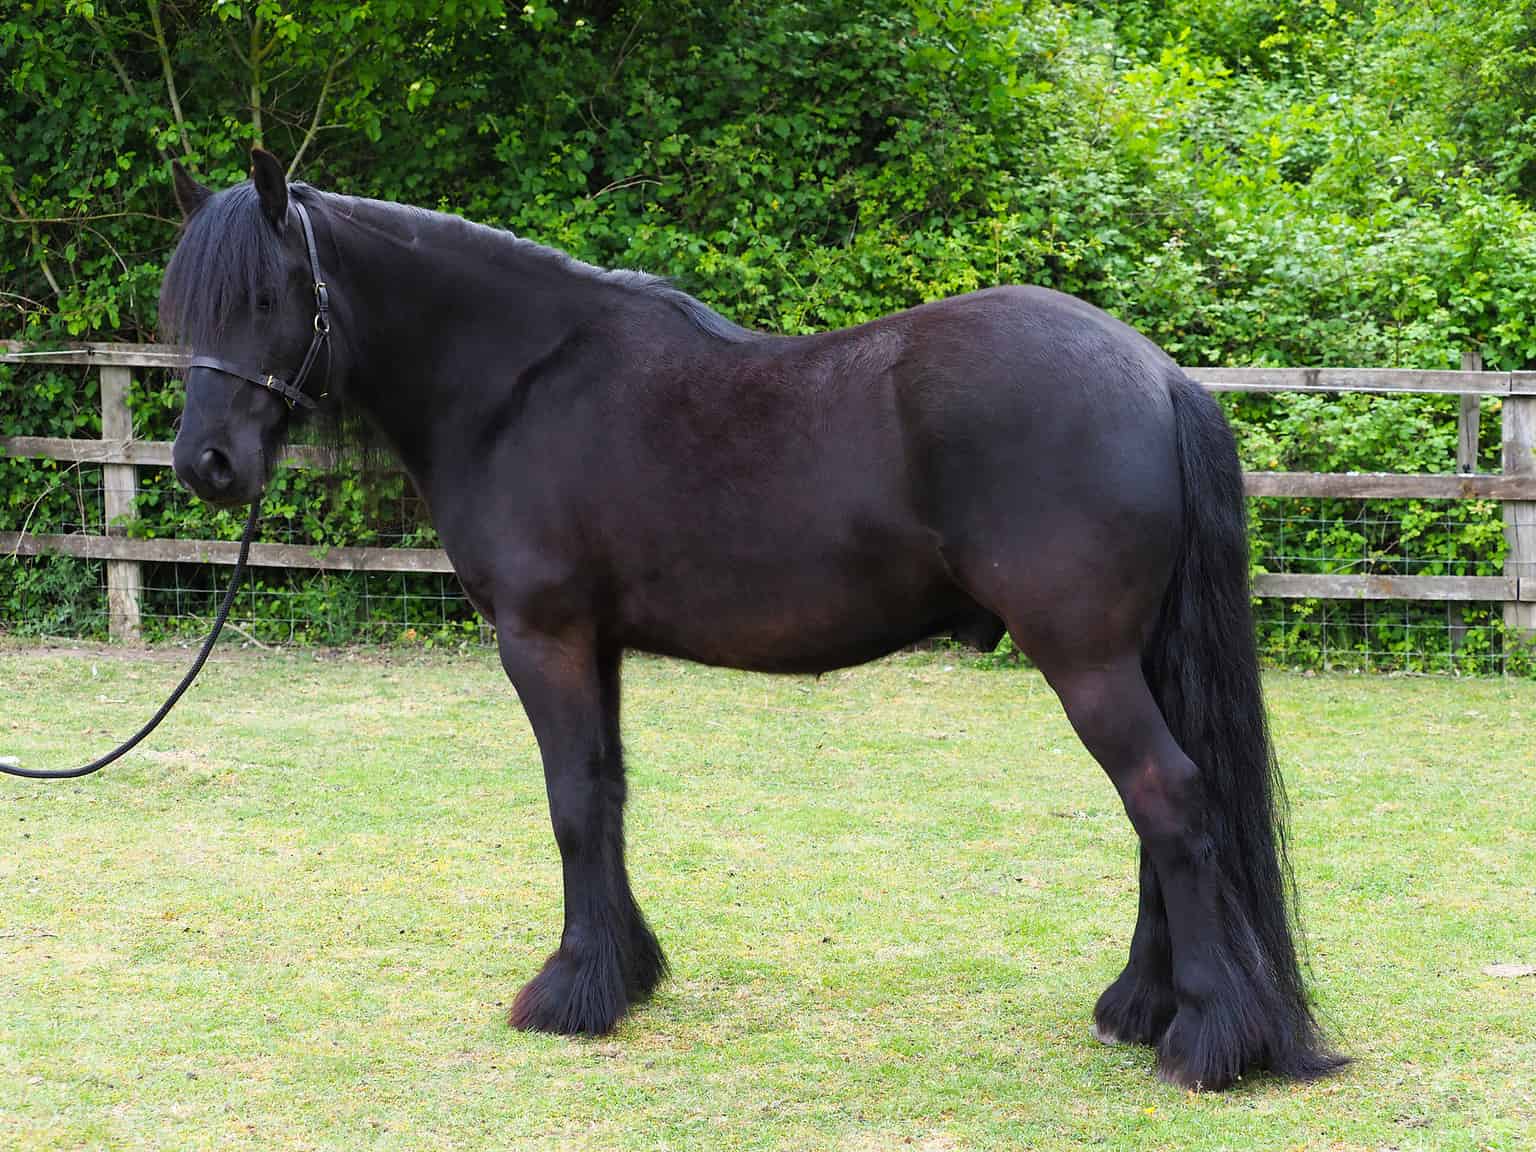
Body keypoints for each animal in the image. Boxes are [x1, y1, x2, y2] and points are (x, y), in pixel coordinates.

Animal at [160, 149, 1344, 1090]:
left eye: (267, 295)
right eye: (191, 308)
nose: (205, 465)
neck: (516, 384)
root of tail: (1156, 375)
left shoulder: (543, 639)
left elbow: (571, 805)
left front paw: (569, 993)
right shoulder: (597, 646)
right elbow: (608, 795)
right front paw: (623, 976)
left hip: (1085, 658)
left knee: (1168, 799)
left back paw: (1206, 1042)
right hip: (1129, 656)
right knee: (1161, 812)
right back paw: (1141, 1009)